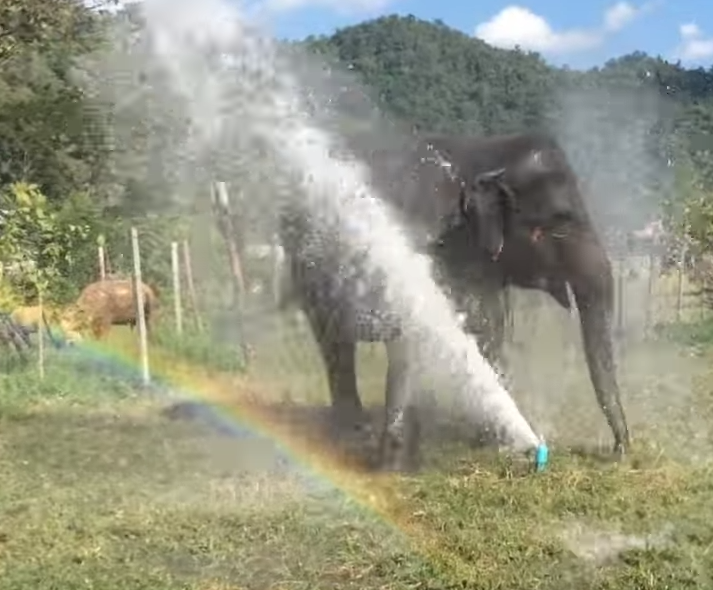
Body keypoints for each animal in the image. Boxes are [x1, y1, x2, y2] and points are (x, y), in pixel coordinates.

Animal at [278, 130, 630, 472]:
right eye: (557, 224)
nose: (618, 451)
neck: (488, 153)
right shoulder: (420, 245)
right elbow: (417, 334)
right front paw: (394, 467)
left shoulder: (483, 266)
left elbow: (489, 329)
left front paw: (490, 444)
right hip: (307, 269)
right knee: (334, 343)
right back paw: (352, 430)